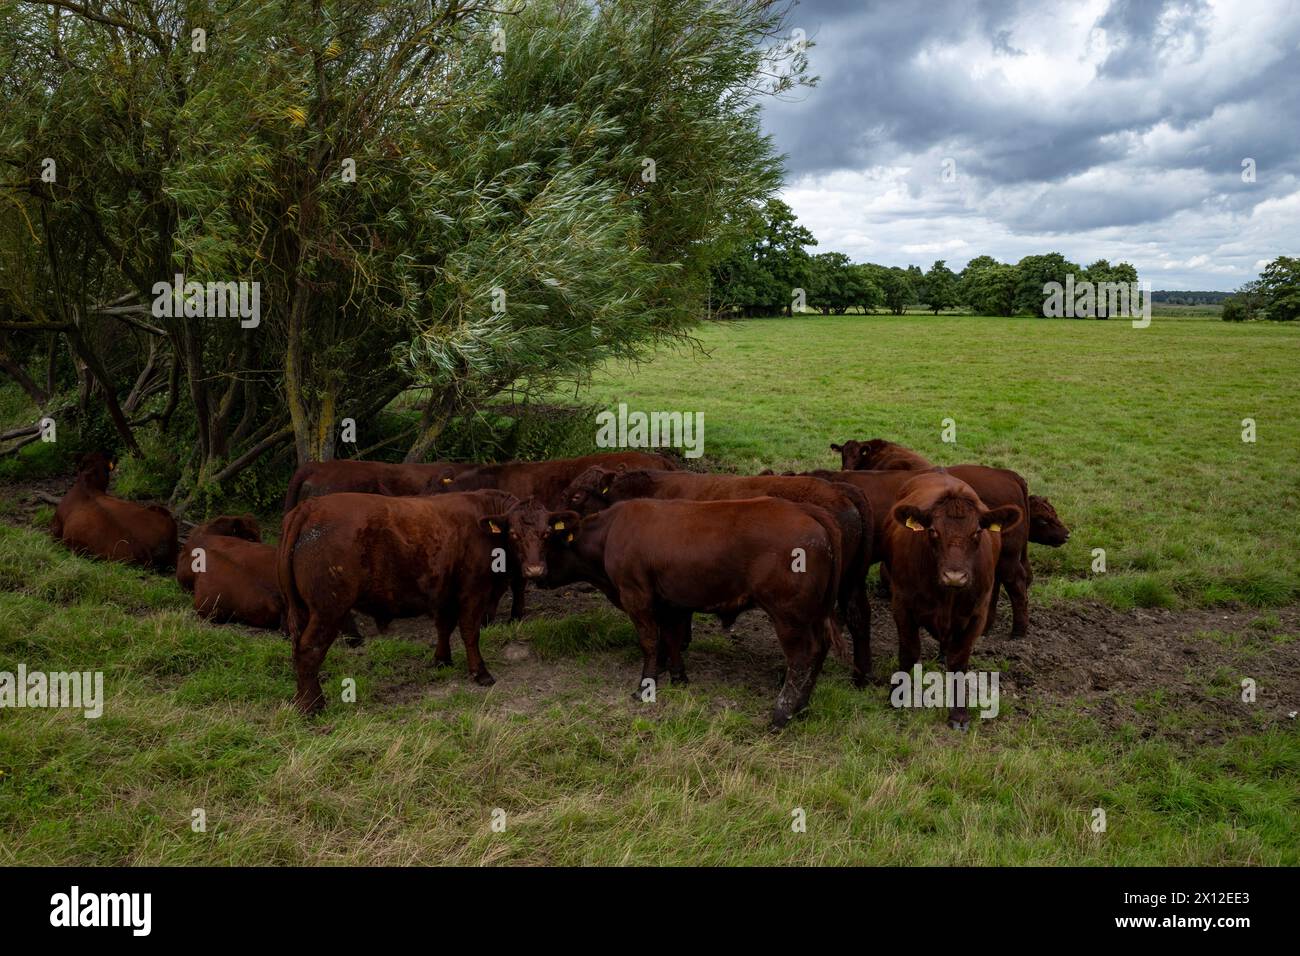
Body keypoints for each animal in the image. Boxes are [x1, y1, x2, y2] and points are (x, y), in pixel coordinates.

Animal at [278, 491, 556, 714]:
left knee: (298, 650)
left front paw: (441, 660)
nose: (534, 569)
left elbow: (444, 627)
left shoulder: (445, 593)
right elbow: (469, 631)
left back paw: (300, 700)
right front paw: (480, 672)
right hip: (328, 609)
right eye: (514, 534)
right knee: (309, 649)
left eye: (546, 533)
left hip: (305, 609)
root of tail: (311, 505)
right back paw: (313, 706)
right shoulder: (473, 591)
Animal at [537, 496, 842, 729]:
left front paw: (645, 687)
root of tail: (804, 509)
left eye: (546, 541)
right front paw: (678, 677)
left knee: (802, 657)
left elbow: (650, 642)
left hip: (788, 615)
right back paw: (801, 707)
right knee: (819, 651)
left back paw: (782, 713)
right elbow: (671, 639)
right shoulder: (672, 603)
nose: (535, 574)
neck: (612, 531)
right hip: (814, 614)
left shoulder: (636, 595)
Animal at [883, 472, 1021, 730]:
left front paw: (958, 714)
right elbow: (909, 651)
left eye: (977, 532)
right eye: (933, 531)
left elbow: (958, 660)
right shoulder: (902, 605)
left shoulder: (976, 615)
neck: (946, 595)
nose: (954, 576)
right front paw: (897, 698)